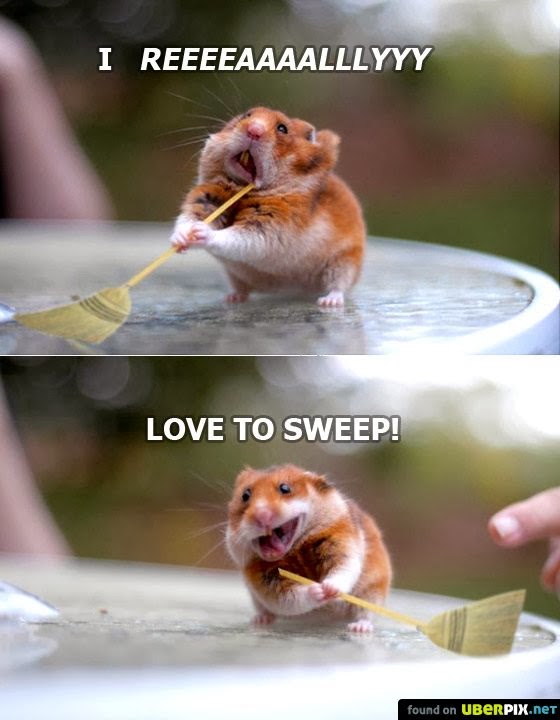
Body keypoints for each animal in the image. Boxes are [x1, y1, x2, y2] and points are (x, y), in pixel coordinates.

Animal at [171, 107, 365, 307]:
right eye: (247, 115)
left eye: (282, 128)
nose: (253, 130)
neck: (241, 190)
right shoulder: (205, 200)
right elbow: (187, 219)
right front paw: (180, 239)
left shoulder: (269, 227)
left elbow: (235, 237)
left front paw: (201, 232)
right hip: (235, 275)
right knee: (243, 289)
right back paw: (232, 298)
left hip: (344, 262)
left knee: (339, 285)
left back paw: (328, 301)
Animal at [226, 464, 392, 633]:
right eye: (245, 495)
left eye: (285, 488)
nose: (262, 515)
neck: (295, 548)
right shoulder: (267, 583)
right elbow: (292, 597)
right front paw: (318, 590)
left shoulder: (342, 545)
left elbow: (342, 570)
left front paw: (328, 589)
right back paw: (259, 620)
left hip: (373, 591)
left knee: (366, 613)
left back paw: (359, 628)